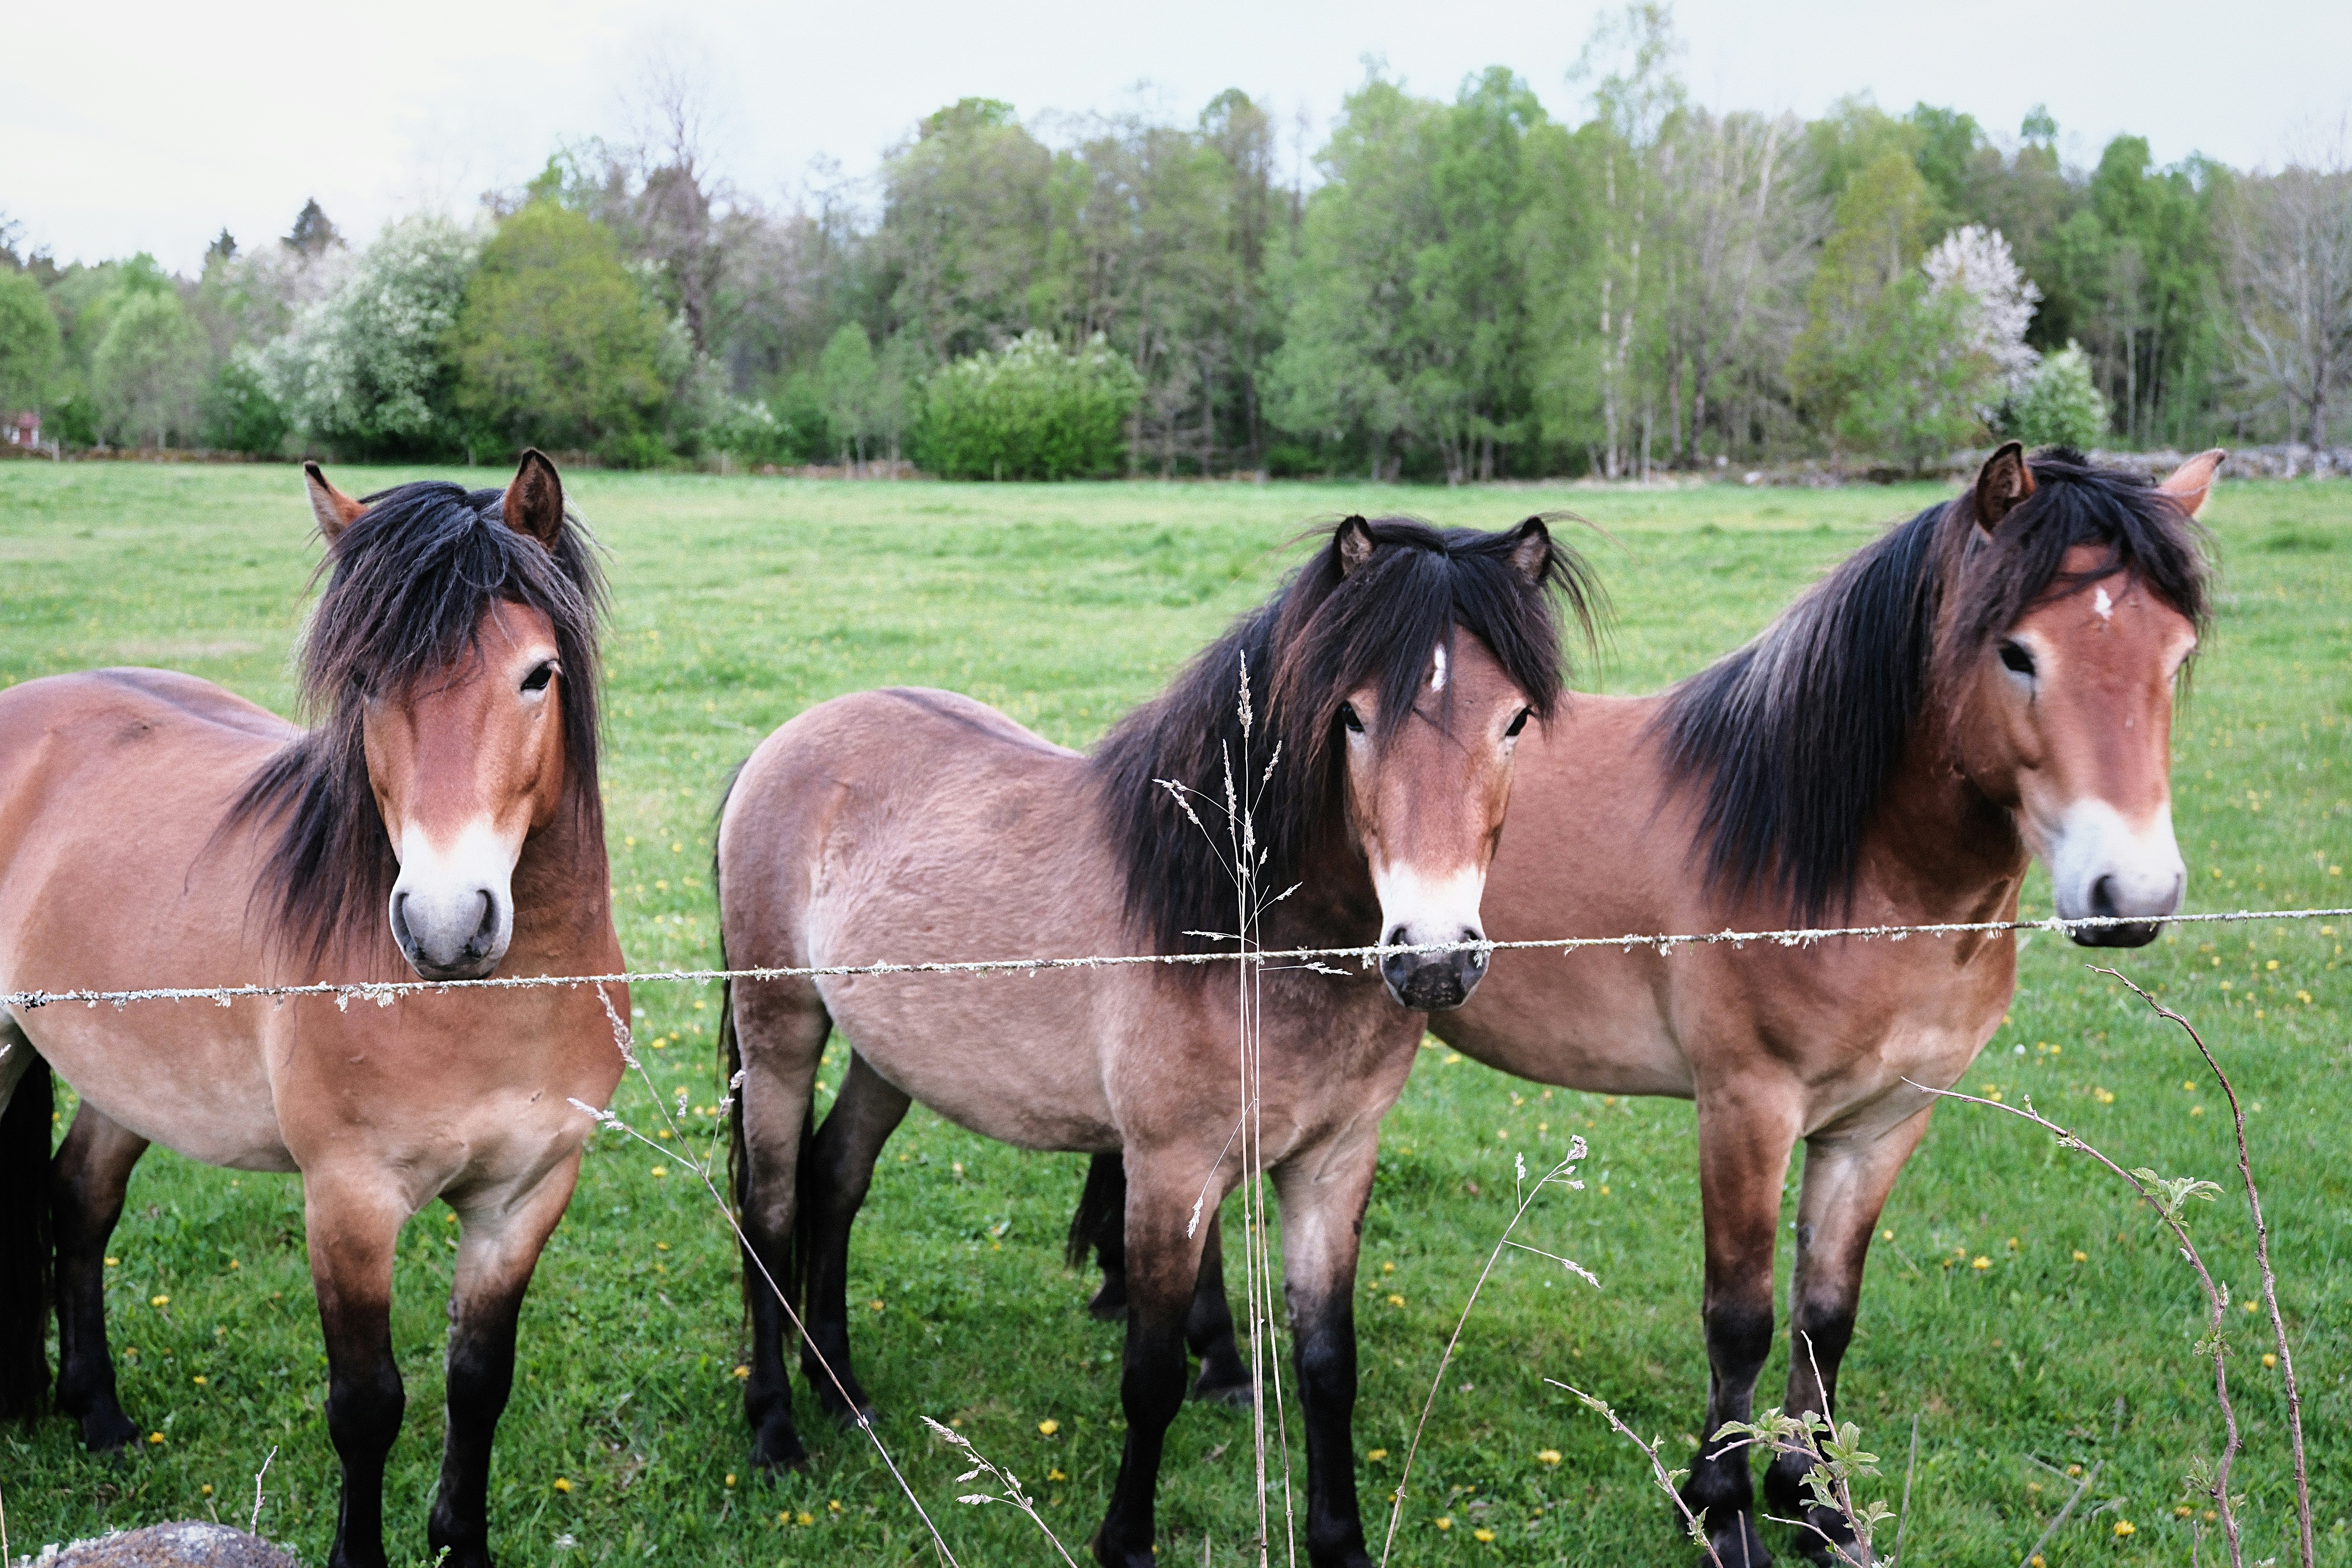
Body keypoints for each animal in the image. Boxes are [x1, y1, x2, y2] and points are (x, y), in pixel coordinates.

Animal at [0, 454, 626, 1568]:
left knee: (80, 1198)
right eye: (368, 680)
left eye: (538, 675)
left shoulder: (526, 1196)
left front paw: (462, 1544)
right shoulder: (349, 1201)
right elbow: (368, 1404)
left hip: (128, 1076)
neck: (493, 1010)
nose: (445, 924)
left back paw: (101, 1415)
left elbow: (479, 1385)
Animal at [715, 516, 1596, 1568]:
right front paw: (1126, 1539)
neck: (1245, 940)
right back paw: (775, 1426)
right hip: (780, 1033)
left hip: (885, 1056)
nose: (1432, 959)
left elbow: (1327, 1367)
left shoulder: (1333, 1166)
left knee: (837, 1179)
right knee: (770, 1207)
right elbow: (1151, 1376)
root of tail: (787, 740)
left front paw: (1339, 1541)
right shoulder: (1170, 1172)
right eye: (1349, 717)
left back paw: (843, 1391)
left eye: (1514, 721)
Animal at [1067, 445, 2219, 1564]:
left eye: (2175, 658)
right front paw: (1722, 1511)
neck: (1832, 852)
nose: (2129, 895)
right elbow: (1740, 1317)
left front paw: (1816, 1509)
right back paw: (1217, 1364)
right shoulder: (1746, 1105)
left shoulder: (1882, 1123)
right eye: (2016, 653)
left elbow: (1825, 1317)